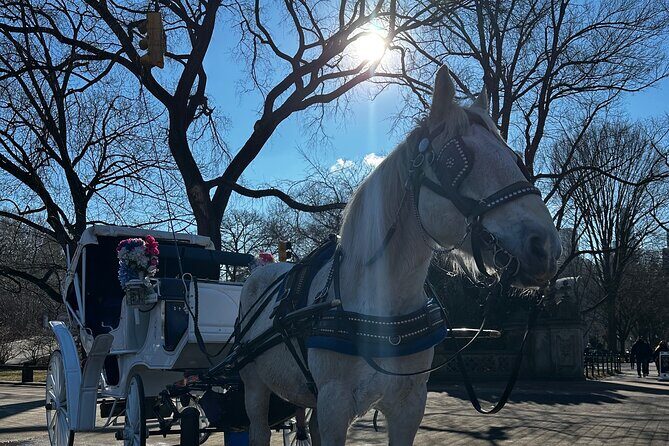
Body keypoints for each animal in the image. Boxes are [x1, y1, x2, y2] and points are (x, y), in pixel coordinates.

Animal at [237, 65, 562, 446]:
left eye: (514, 160)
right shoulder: (334, 403)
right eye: (456, 162)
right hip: (254, 387)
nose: (546, 246)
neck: (382, 308)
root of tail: (262, 268)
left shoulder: (409, 404)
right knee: (257, 426)